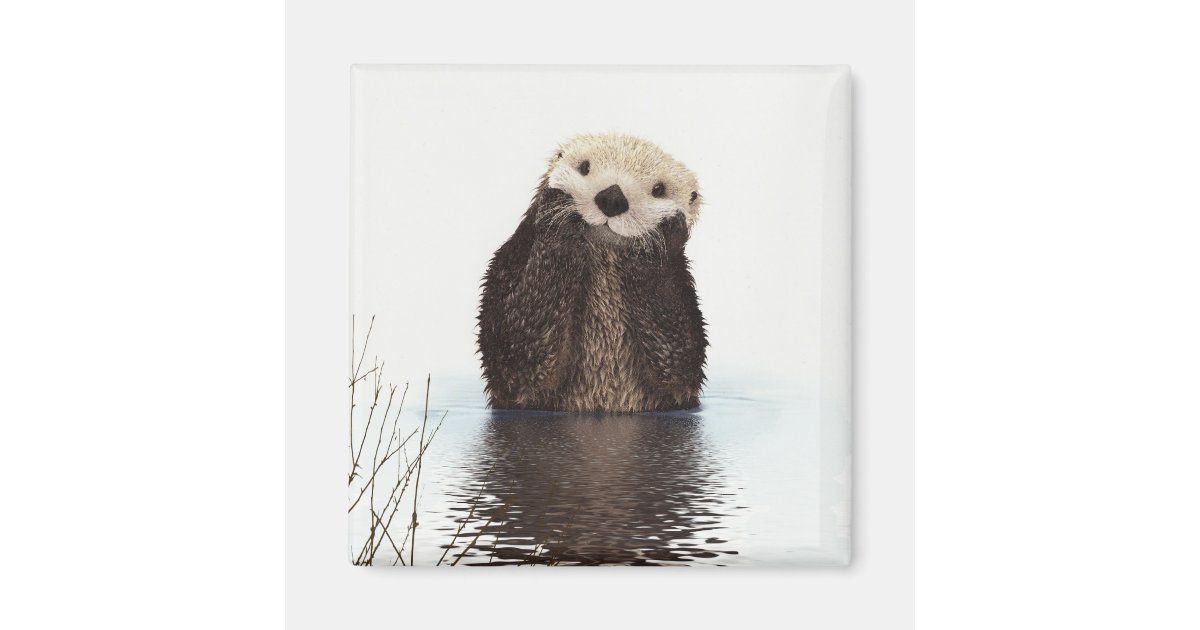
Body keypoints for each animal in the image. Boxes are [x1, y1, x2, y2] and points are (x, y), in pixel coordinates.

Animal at [477, 133, 707, 412]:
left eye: (659, 190)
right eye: (584, 167)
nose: (613, 198)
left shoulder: (683, 296)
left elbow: (678, 361)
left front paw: (659, 237)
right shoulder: (510, 262)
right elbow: (516, 349)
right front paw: (559, 212)